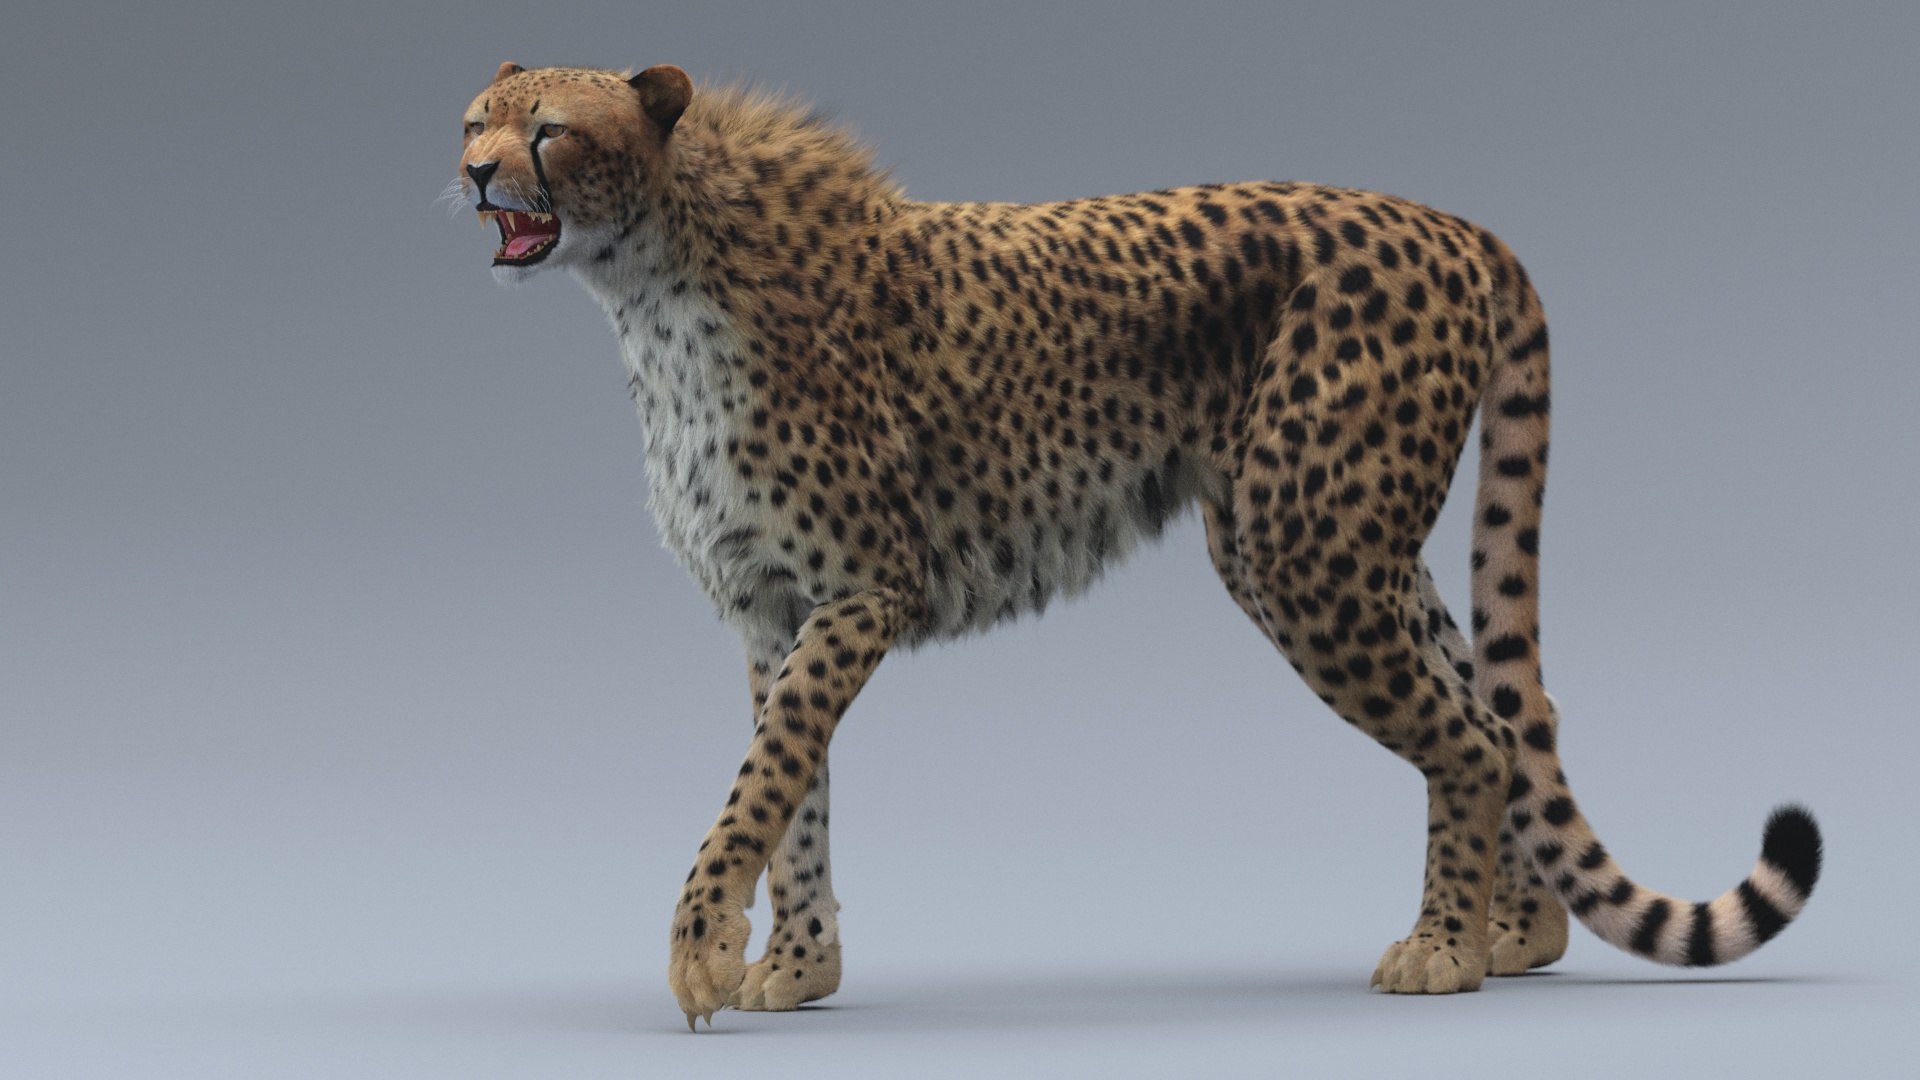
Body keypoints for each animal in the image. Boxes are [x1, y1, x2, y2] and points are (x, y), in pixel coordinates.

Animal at [451, 62, 1822, 1029]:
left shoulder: (859, 590)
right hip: (1337, 542)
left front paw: (699, 952)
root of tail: (1450, 223)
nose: (470, 176)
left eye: (549, 132)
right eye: (473, 119)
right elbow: (793, 794)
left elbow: (761, 780)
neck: (658, 273)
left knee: (1475, 733)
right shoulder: (771, 610)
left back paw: (1442, 951)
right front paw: (795, 964)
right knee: (1504, 697)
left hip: (1306, 547)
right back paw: (1515, 936)